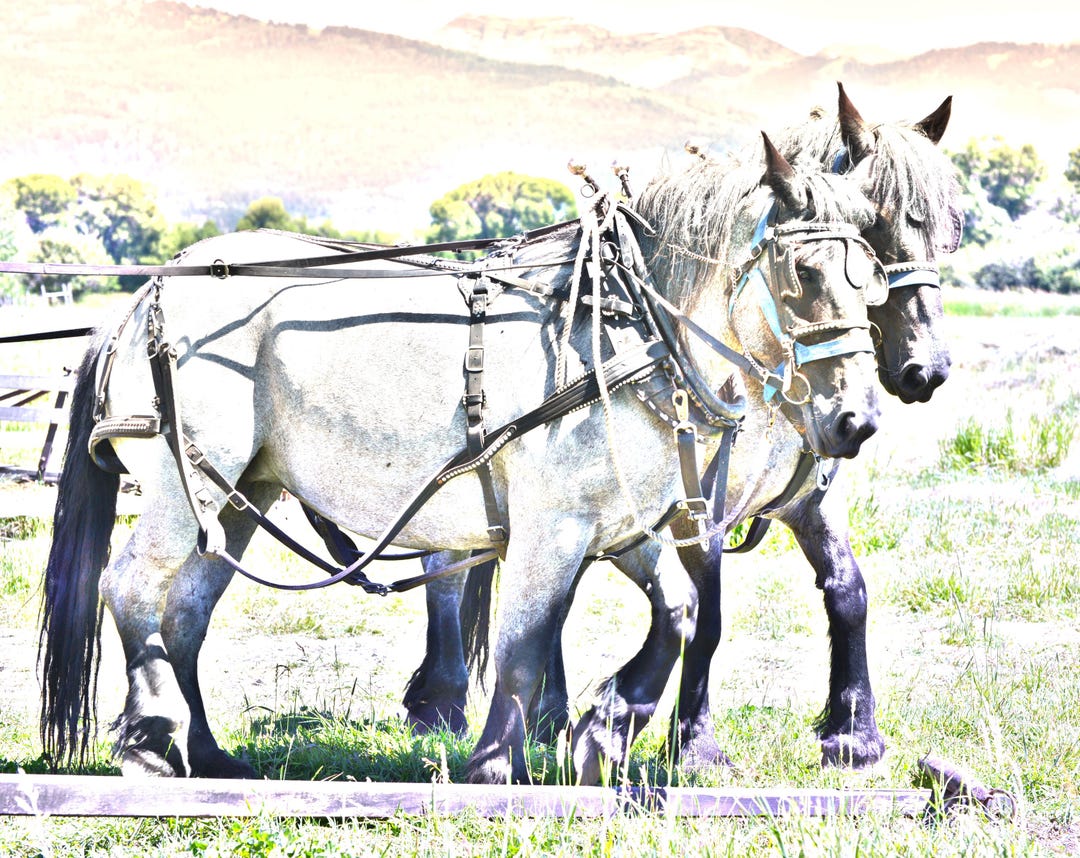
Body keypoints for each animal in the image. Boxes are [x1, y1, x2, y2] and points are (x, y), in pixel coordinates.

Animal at [39, 136, 887, 784]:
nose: (858, 418)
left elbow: (676, 614)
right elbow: (523, 644)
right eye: (805, 275)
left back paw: (209, 753)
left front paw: (606, 726)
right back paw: (151, 739)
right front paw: (496, 762)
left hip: (241, 492)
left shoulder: (622, 523)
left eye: (873, 275)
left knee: (184, 613)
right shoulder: (554, 524)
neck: (624, 325)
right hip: (181, 483)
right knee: (131, 587)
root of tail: (140, 302)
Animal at [402, 84, 962, 779]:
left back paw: (545, 714)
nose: (926, 369)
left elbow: (848, 590)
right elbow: (711, 616)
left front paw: (853, 733)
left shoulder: (810, 499)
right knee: (450, 563)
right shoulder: (701, 512)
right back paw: (446, 702)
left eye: (947, 229)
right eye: (878, 224)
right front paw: (694, 745)